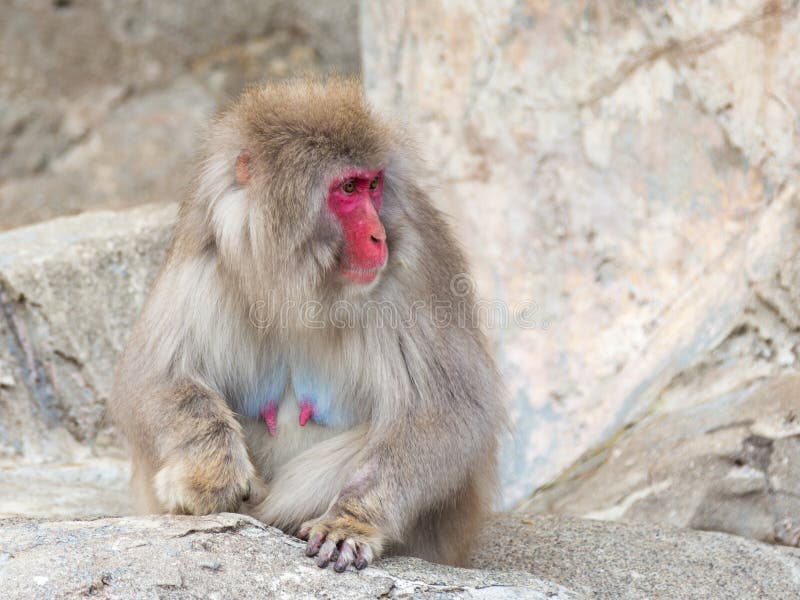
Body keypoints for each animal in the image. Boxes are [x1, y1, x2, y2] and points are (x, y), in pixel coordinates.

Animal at [108, 77, 506, 571]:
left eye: (374, 185)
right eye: (349, 188)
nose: (378, 236)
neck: (298, 284)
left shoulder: (412, 276)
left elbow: (446, 411)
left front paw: (351, 520)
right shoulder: (206, 260)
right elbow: (155, 379)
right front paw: (211, 471)